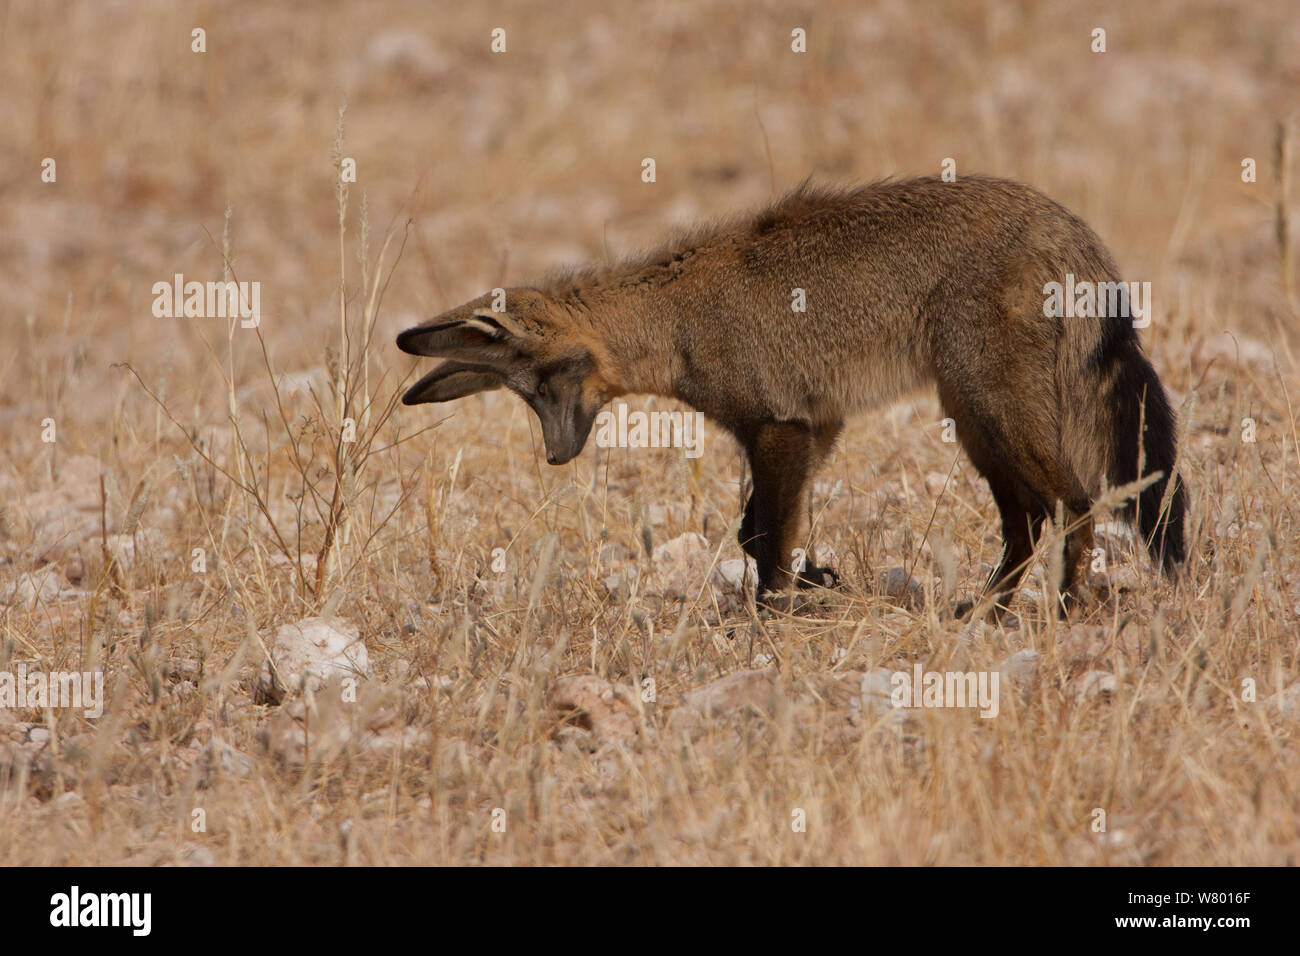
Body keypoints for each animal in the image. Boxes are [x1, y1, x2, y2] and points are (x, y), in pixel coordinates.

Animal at [397, 175, 1187, 614]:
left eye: (546, 382)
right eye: (525, 397)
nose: (557, 457)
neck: (677, 316)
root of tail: (1067, 224)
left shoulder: (779, 426)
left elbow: (767, 534)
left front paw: (771, 612)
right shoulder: (816, 425)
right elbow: (758, 529)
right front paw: (811, 586)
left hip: (995, 412)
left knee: (1074, 504)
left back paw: (1064, 611)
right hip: (974, 421)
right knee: (1028, 521)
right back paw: (988, 611)